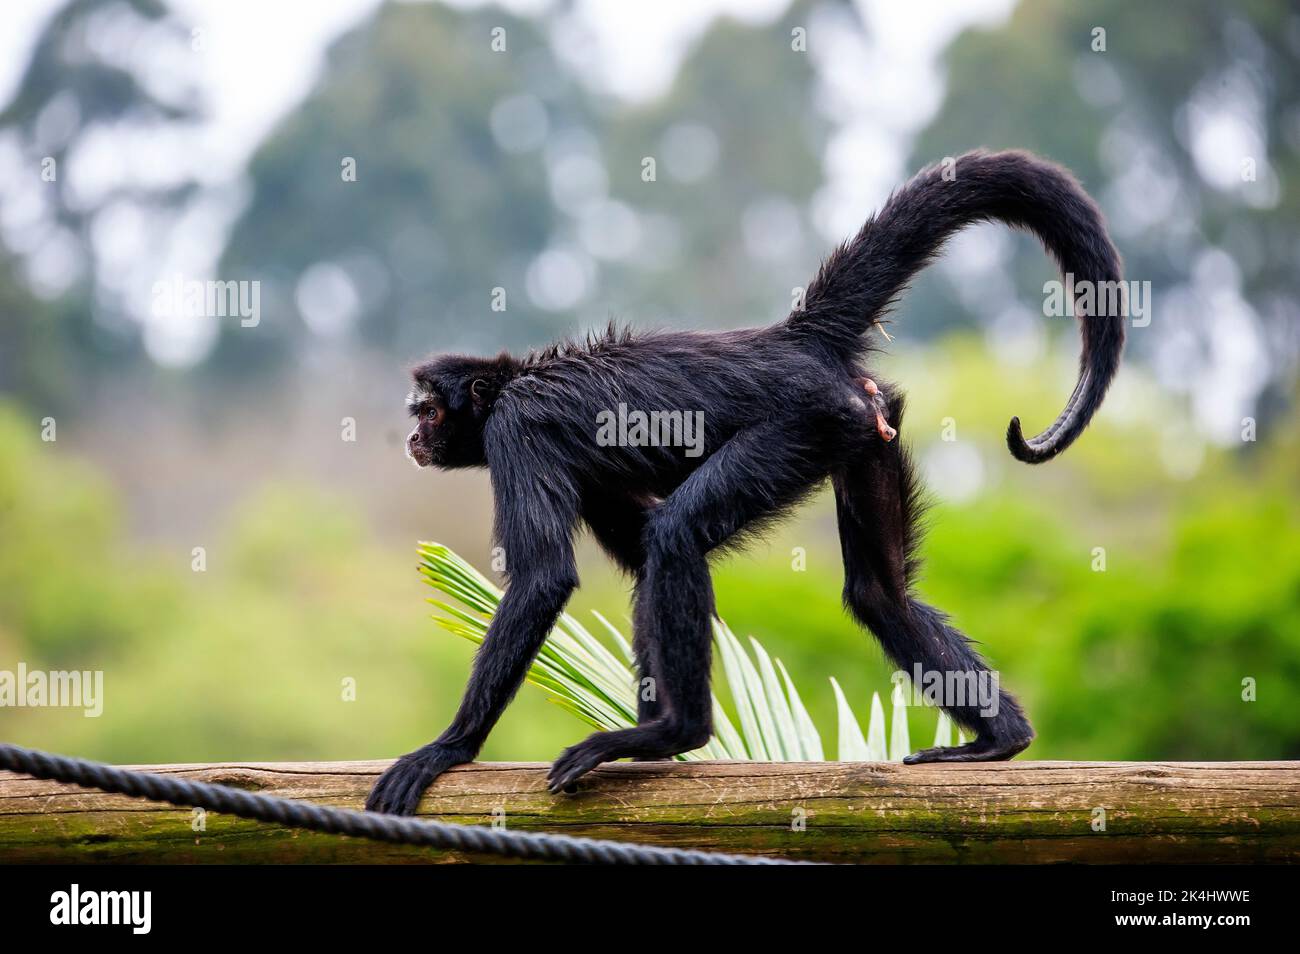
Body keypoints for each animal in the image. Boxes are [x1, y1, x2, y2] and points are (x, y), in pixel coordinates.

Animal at [366, 149, 1125, 816]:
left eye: (428, 411)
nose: (412, 438)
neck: (516, 380)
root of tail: (790, 340)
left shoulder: (518, 431)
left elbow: (548, 577)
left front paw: (448, 749)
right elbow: (638, 553)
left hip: (800, 424)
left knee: (678, 534)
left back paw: (678, 732)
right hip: (863, 425)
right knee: (878, 592)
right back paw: (1001, 738)